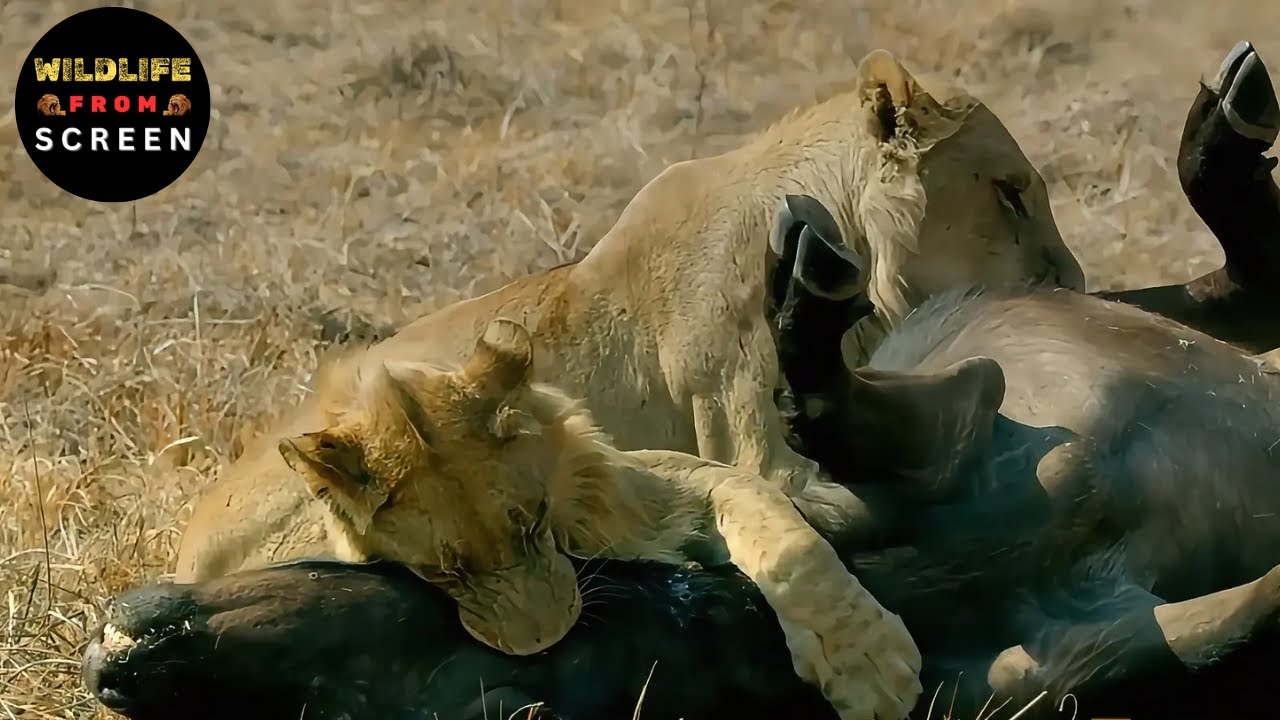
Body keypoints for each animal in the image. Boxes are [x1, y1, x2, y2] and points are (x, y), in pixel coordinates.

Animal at [277, 316, 921, 720]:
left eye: (534, 520)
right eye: (444, 573)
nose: (546, 640)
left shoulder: (664, 486)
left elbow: (785, 539)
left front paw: (869, 666)